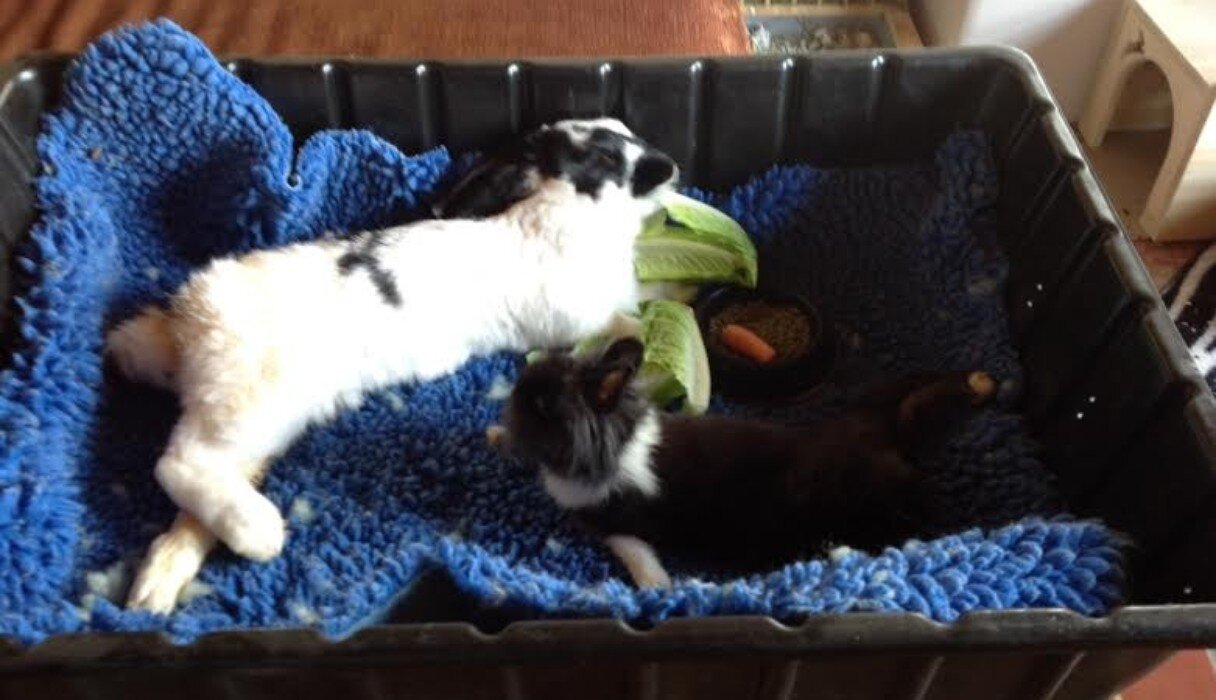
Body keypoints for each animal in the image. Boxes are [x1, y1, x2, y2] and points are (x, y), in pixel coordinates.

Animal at [106, 117, 680, 613]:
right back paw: (259, 533)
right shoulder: (584, 322)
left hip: (257, 432)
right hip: (245, 404)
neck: (562, 217)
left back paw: (154, 590)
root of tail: (187, 323)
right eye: (605, 156)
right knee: (176, 463)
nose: (669, 166)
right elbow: (631, 323)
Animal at [488, 337, 997, 589]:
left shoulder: (617, 519)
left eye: (545, 407)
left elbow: (633, 548)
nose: (514, 398)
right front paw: (495, 434)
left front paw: (657, 587)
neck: (614, 440)